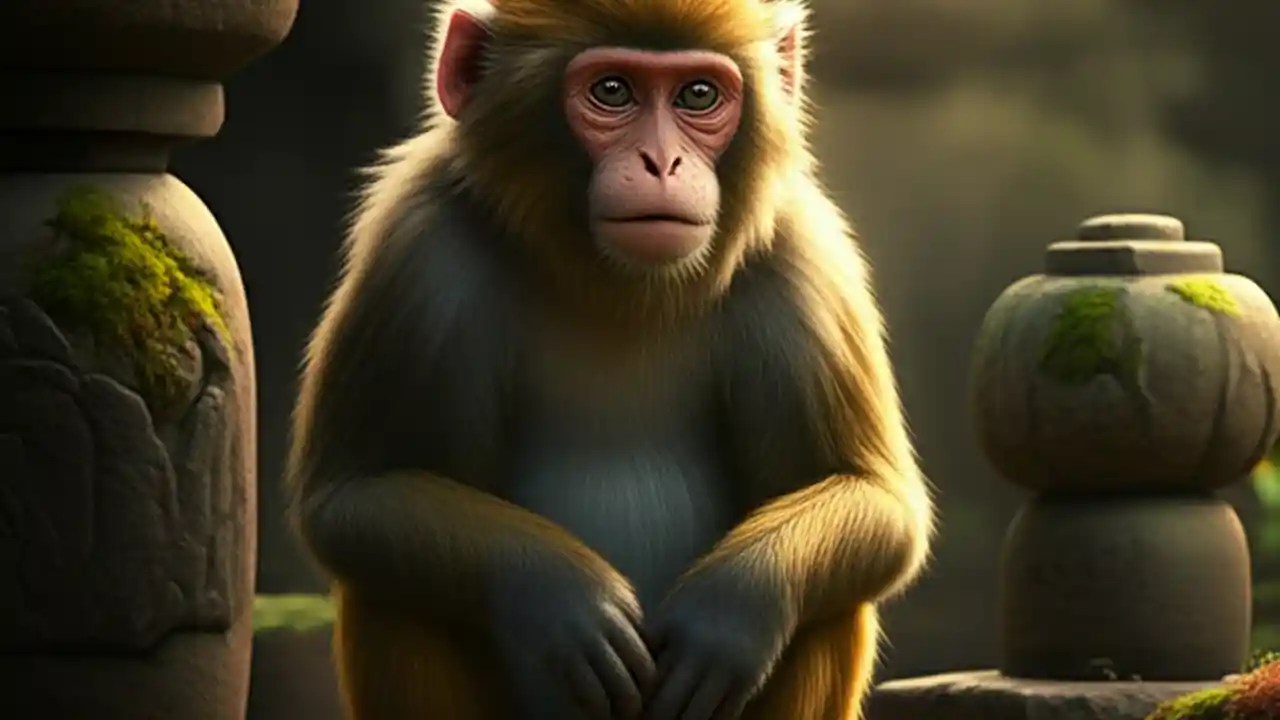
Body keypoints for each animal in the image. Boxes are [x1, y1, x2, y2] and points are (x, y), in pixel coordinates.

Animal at [285, 0, 935, 719]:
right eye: (613, 91)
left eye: (698, 95)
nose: (661, 162)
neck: (617, 286)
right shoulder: (416, 246)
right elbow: (351, 500)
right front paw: (555, 594)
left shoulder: (804, 261)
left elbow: (878, 503)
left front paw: (735, 608)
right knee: (394, 595)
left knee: (830, 604)